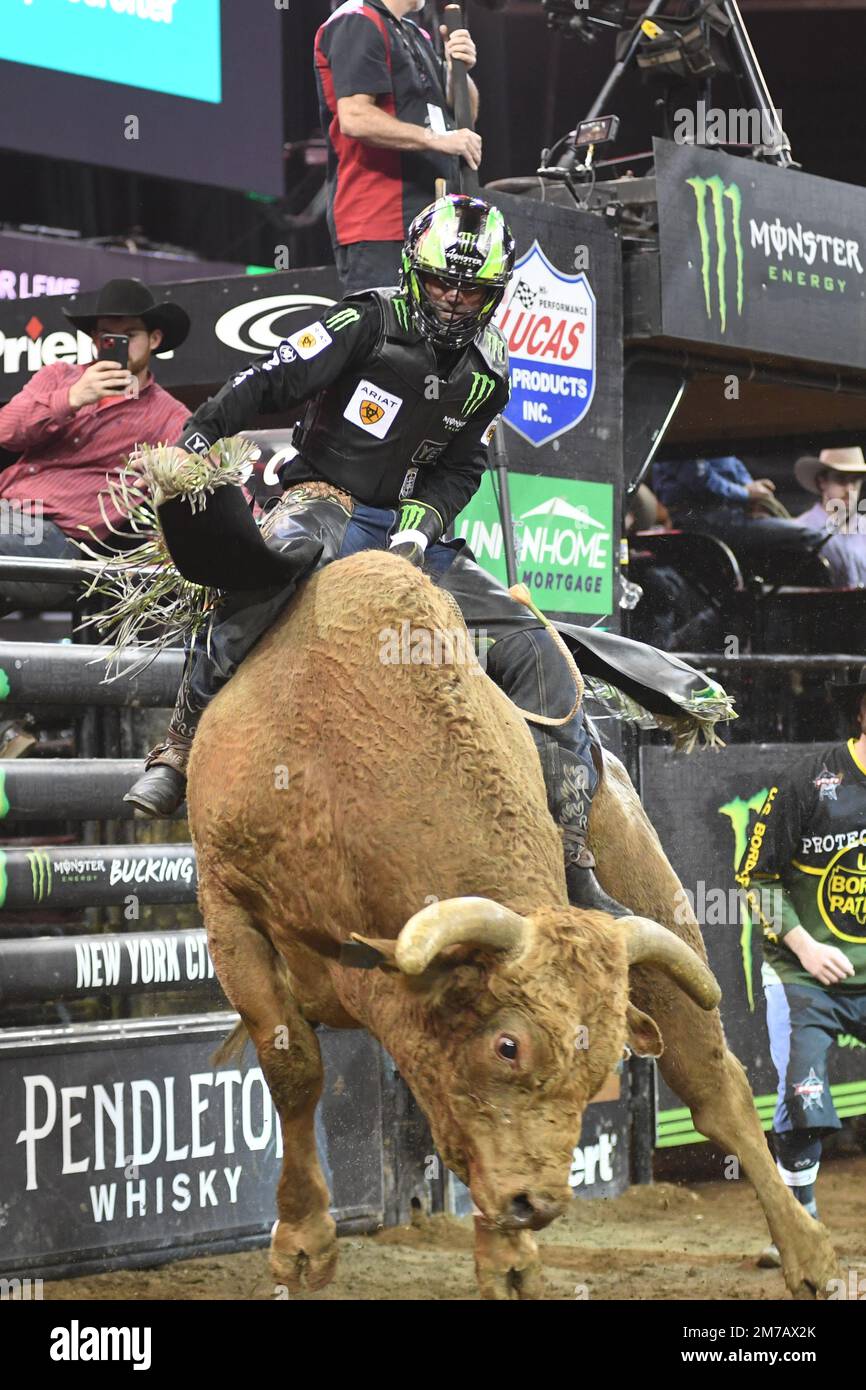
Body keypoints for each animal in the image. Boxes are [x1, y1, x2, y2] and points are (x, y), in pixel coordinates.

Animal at [187, 549, 839, 1300]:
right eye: (508, 1046)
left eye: (601, 1062)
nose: (540, 1205)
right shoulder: (227, 901)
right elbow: (294, 1064)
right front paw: (304, 1243)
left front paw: (507, 1255)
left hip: (657, 909)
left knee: (719, 1091)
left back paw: (809, 1255)